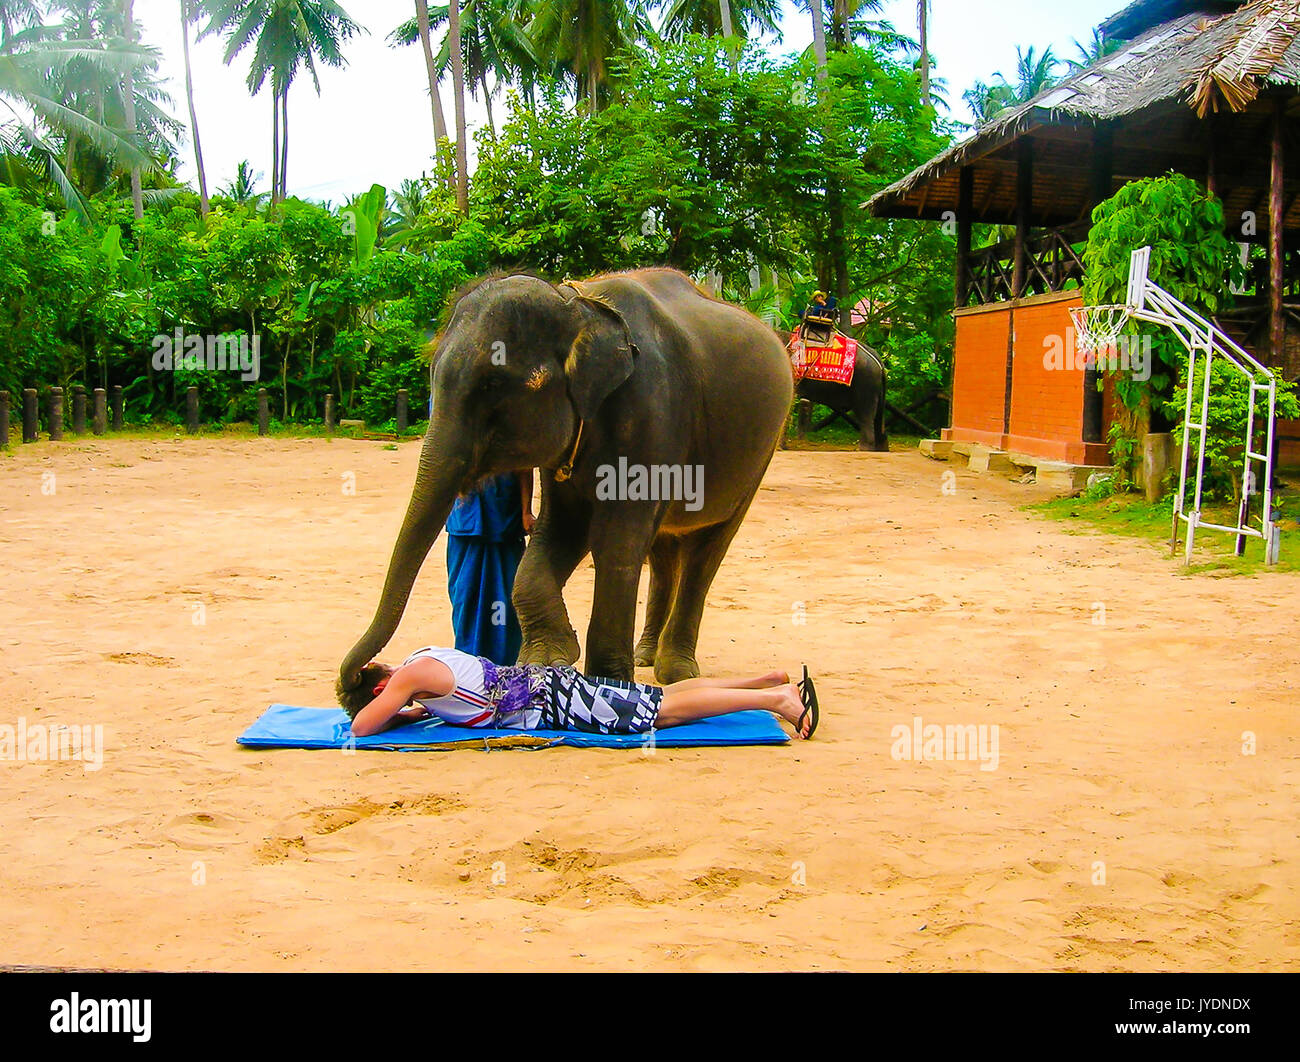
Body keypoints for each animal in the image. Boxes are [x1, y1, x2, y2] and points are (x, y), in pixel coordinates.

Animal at [337, 267, 793, 708]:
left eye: (490, 385)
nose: (365, 680)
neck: (577, 306)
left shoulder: (654, 412)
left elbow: (615, 542)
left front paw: (607, 681)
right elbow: (559, 531)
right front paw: (547, 659)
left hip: (763, 448)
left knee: (707, 548)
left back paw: (675, 672)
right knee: (664, 547)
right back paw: (646, 655)